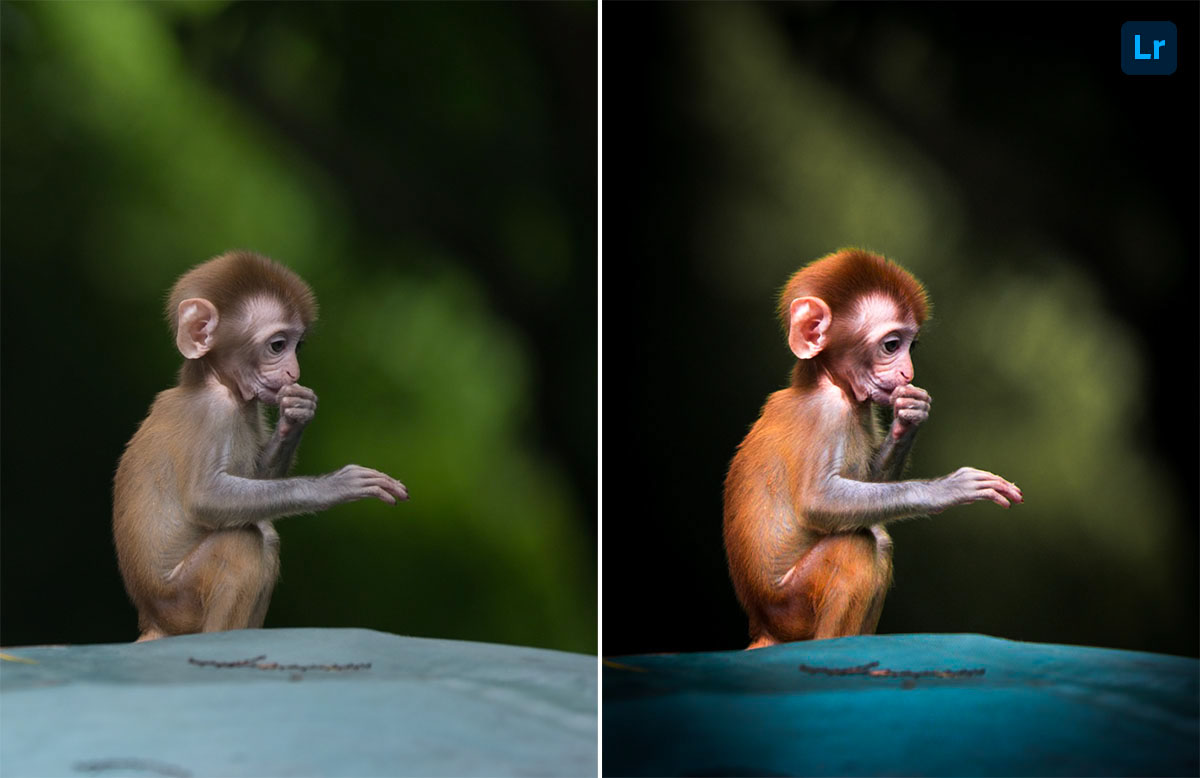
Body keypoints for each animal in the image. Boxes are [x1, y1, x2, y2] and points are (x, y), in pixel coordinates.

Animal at [113, 250, 409, 641]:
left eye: (298, 346)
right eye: (278, 346)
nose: (294, 373)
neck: (213, 382)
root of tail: (153, 619)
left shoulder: (251, 409)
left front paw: (296, 415)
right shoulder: (213, 411)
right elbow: (206, 498)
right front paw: (336, 485)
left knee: (263, 535)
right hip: (179, 604)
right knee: (245, 542)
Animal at [723, 248, 1022, 648]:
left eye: (911, 346)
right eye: (892, 345)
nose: (908, 374)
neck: (826, 382)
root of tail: (763, 625)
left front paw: (909, 417)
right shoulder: (827, 411)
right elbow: (818, 502)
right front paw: (948, 488)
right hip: (791, 609)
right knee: (860, 545)